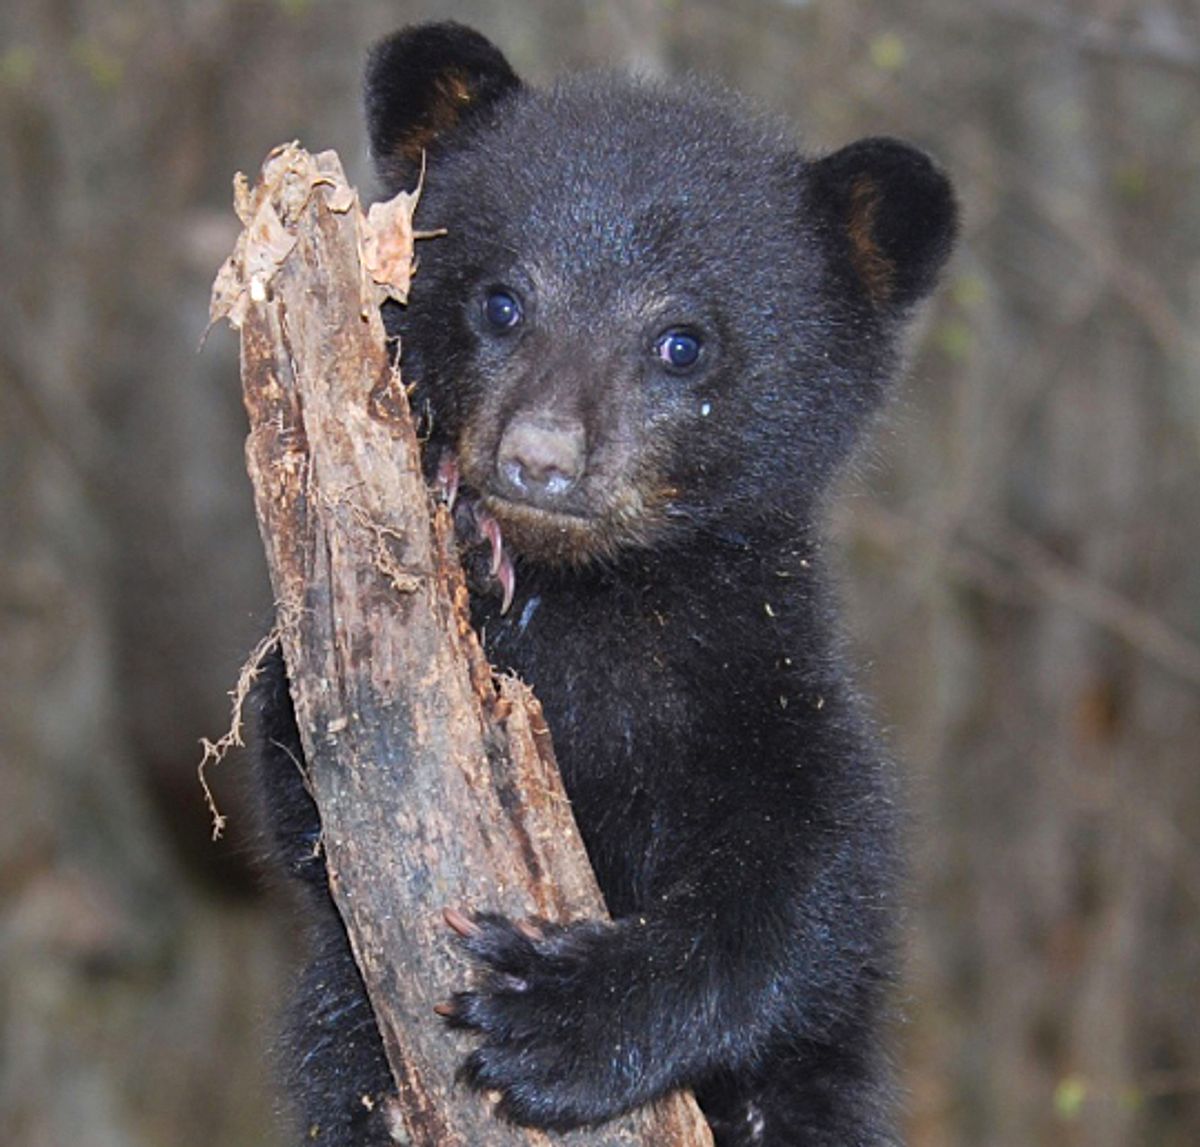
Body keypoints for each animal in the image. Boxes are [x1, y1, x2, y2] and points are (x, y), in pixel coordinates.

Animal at [252, 20, 958, 1147]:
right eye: (501, 300)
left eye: (683, 341)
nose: (541, 457)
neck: (591, 604)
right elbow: (315, 802)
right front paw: (460, 540)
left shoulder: (755, 678)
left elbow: (815, 878)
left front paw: (556, 1019)